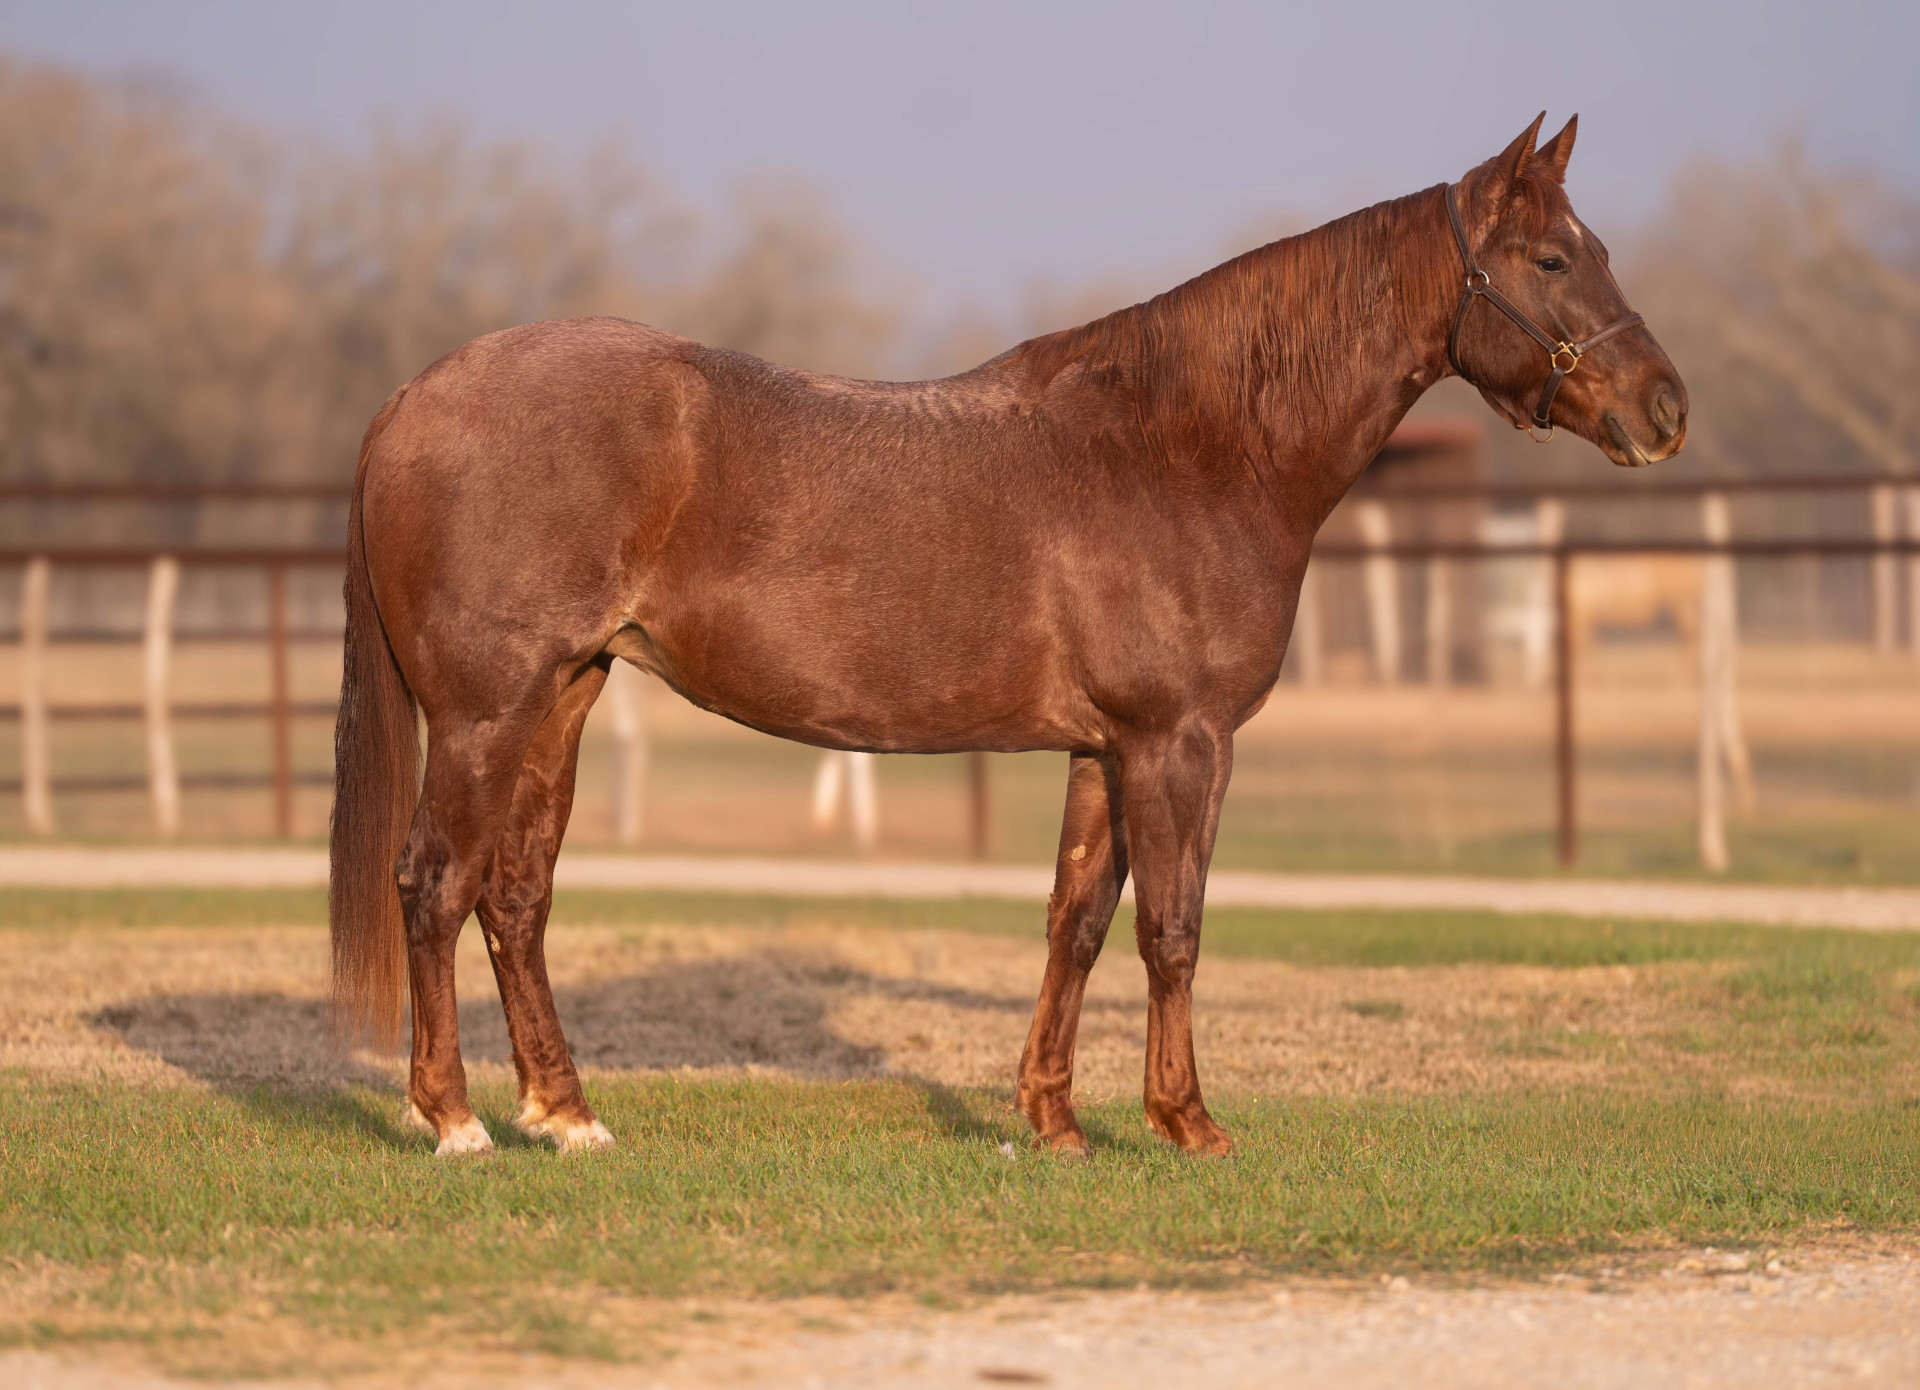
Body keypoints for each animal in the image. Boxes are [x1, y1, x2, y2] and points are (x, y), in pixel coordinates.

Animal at [330, 113, 1686, 1157]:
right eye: (1552, 257)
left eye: (1604, 250)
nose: (1666, 409)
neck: (1189, 448)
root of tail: (410, 397)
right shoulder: (1181, 743)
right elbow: (1173, 928)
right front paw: (1188, 1123)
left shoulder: (1106, 749)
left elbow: (1076, 922)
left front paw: (1053, 1121)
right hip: (486, 712)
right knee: (435, 883)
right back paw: (455, 1120)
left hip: (563, 693)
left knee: (516, 893)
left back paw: (566, 1115)